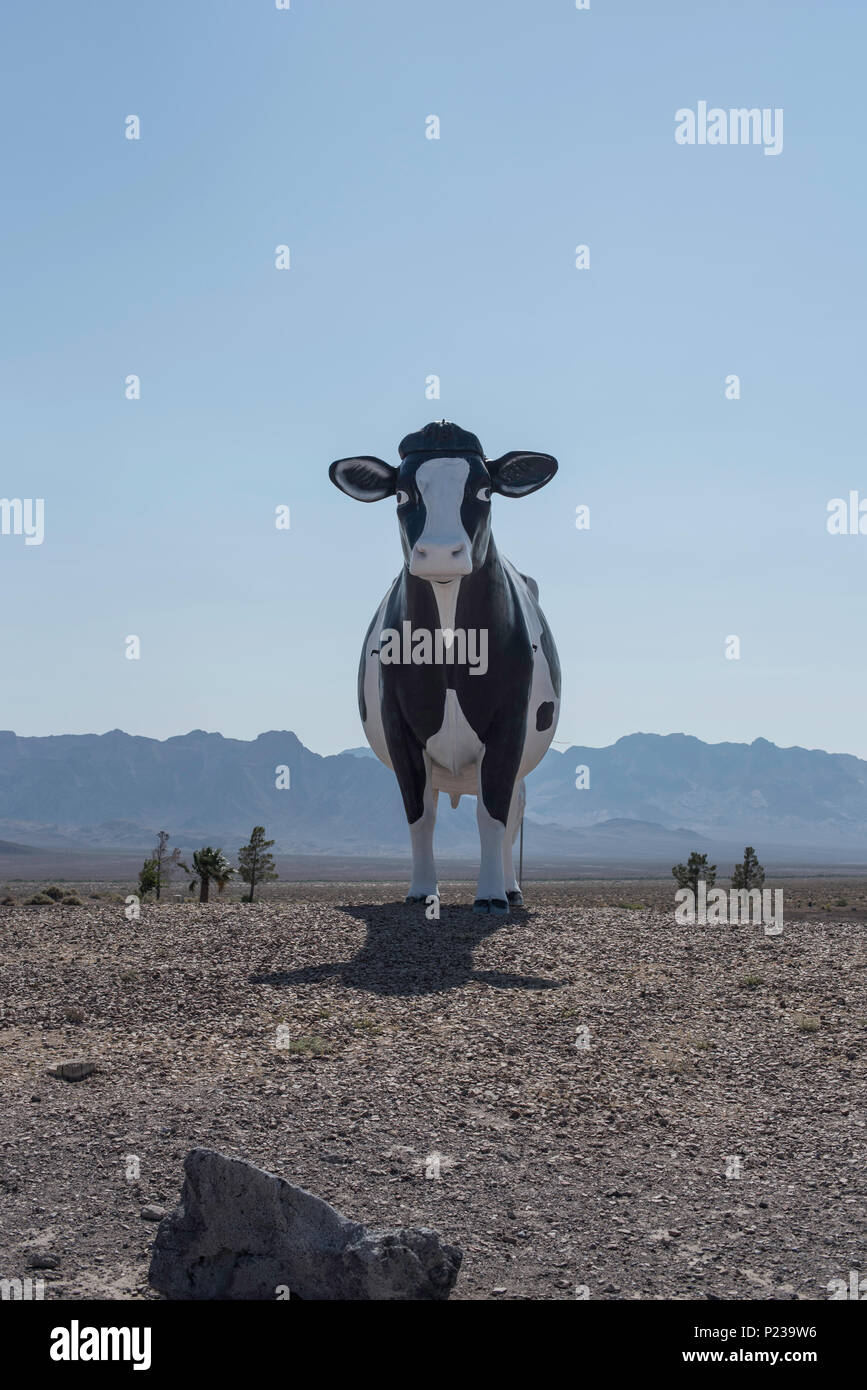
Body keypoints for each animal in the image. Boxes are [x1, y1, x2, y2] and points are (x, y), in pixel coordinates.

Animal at [329, 420, 561, 914]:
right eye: (401, 495)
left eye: (485, 491)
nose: (438, 552)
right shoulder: (398, 722)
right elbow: (419, 814)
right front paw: (421, 891)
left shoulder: (510, 720)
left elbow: (493, 812)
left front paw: (491, 896)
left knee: (513, 811)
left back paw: (511, 888)